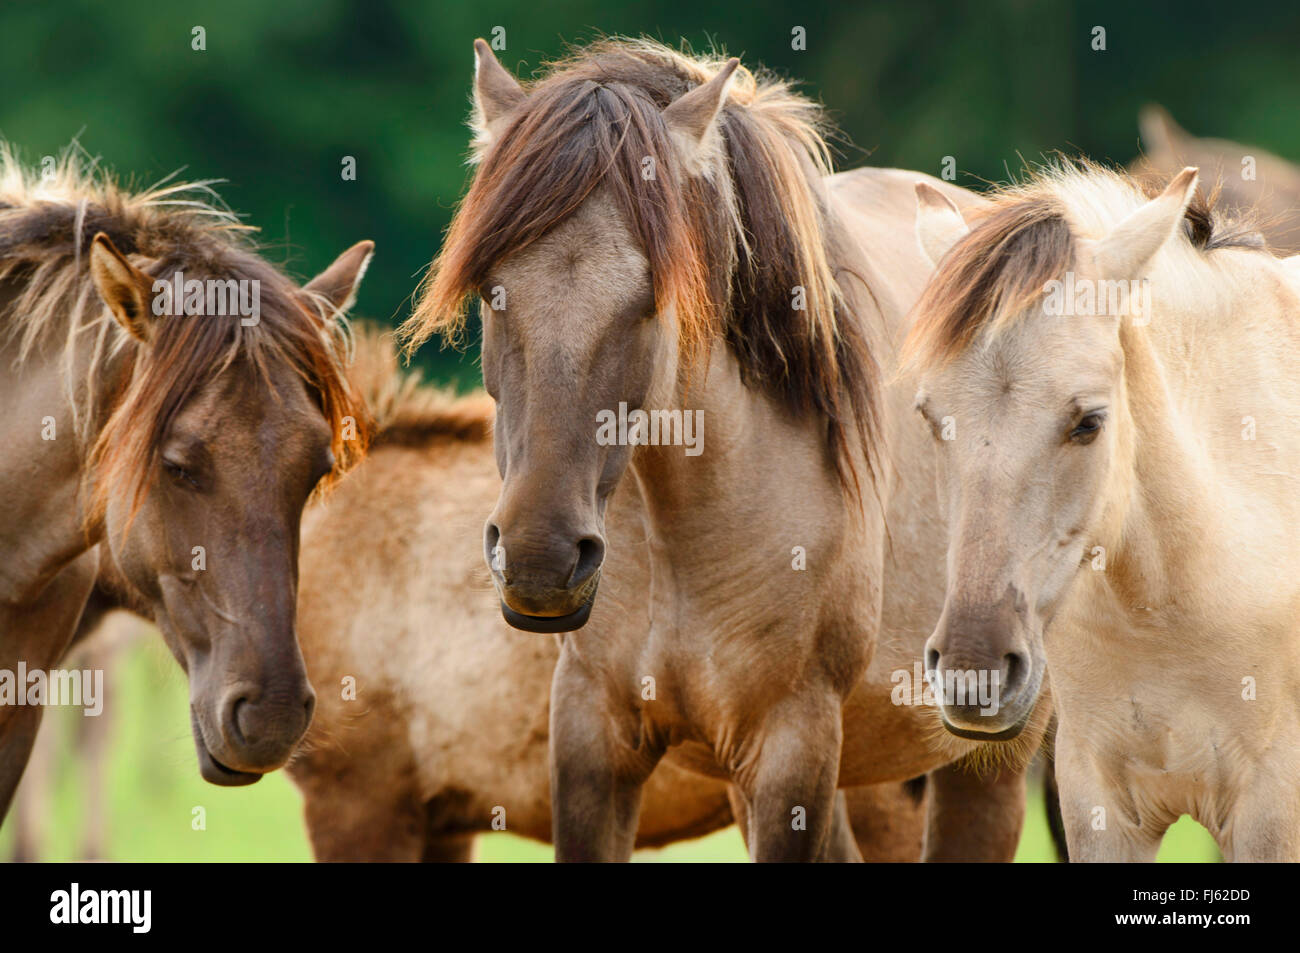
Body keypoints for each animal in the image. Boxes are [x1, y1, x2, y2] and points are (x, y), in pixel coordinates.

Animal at [403, 38, 1049, 861]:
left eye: (653, 298)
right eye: (492, 290)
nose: (540, 560)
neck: (681, 532)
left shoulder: (790, 750)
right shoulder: (591, 735)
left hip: (984, 756)